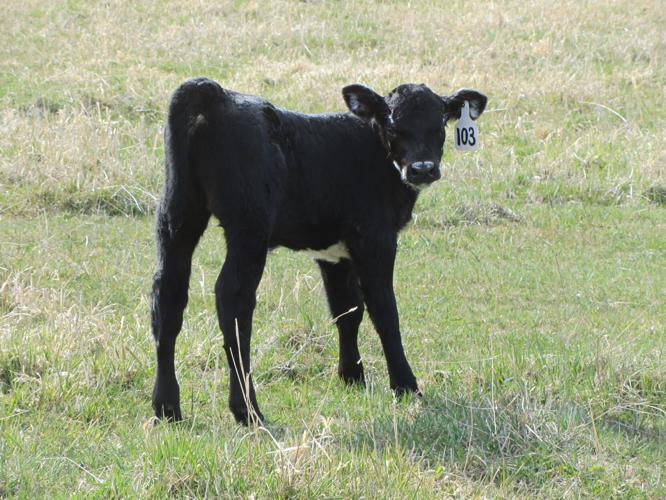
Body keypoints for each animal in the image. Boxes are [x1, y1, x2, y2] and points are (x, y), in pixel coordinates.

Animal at [151, 78, 487, 424]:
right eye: (394, 127)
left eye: (439, 126)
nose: (422, 169)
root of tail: (212, 92)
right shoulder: (376, 238)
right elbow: (384, 311)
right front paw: (405, 386)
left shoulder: (333, 253)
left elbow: (347, 309)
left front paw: (352, 376)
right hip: (249, 228)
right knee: (233, 299)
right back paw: (247, 409)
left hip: (176, 215)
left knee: (168, 295)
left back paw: (167, 407)